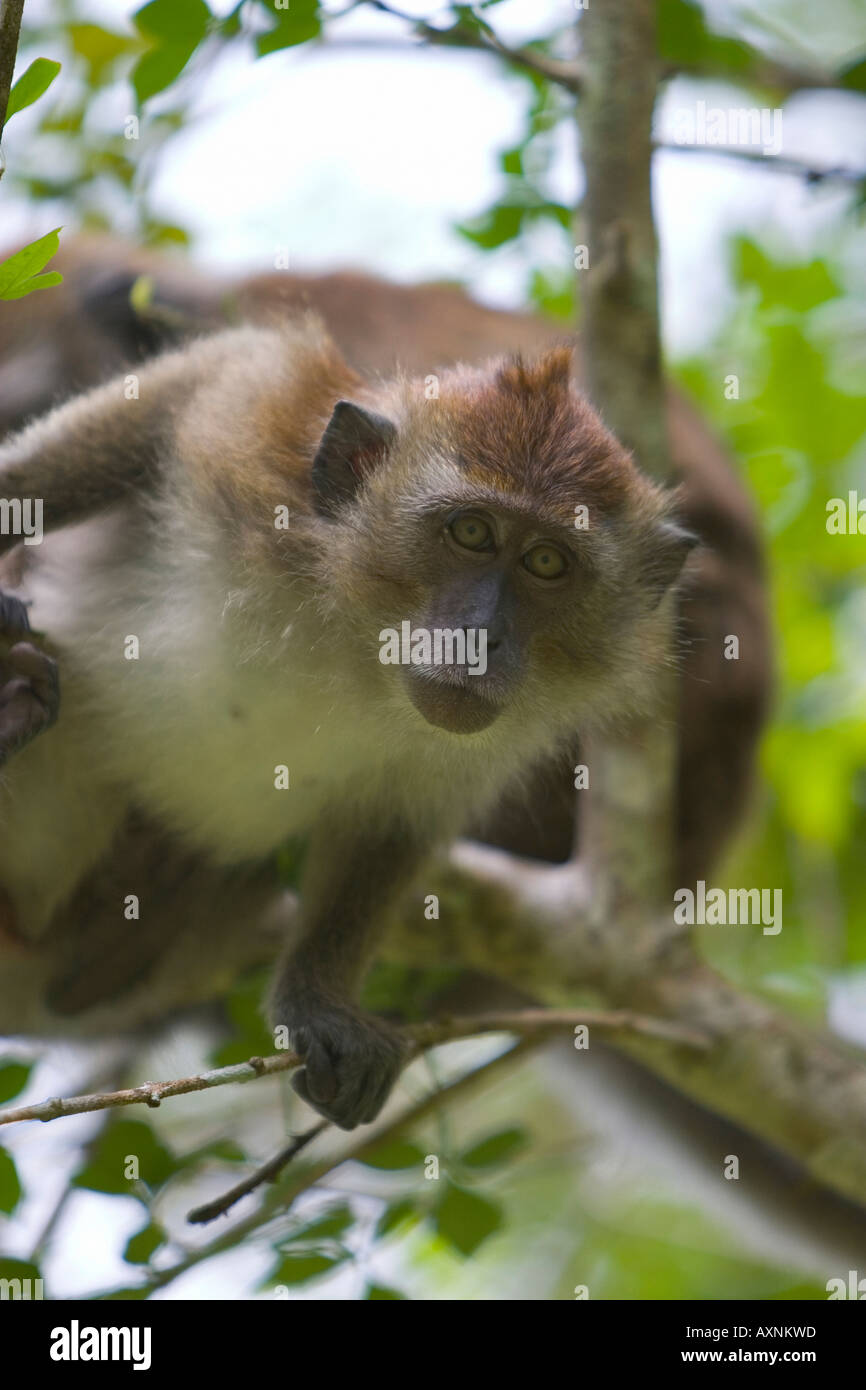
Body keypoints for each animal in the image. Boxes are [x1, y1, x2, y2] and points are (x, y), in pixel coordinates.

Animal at [0, 313, 698, 1128]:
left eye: (548, 563)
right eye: (471, 533)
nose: (481, 636)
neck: (361, 648)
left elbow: (390, 823)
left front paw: (319, 1003)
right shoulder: (258, 449)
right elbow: (195, 386)